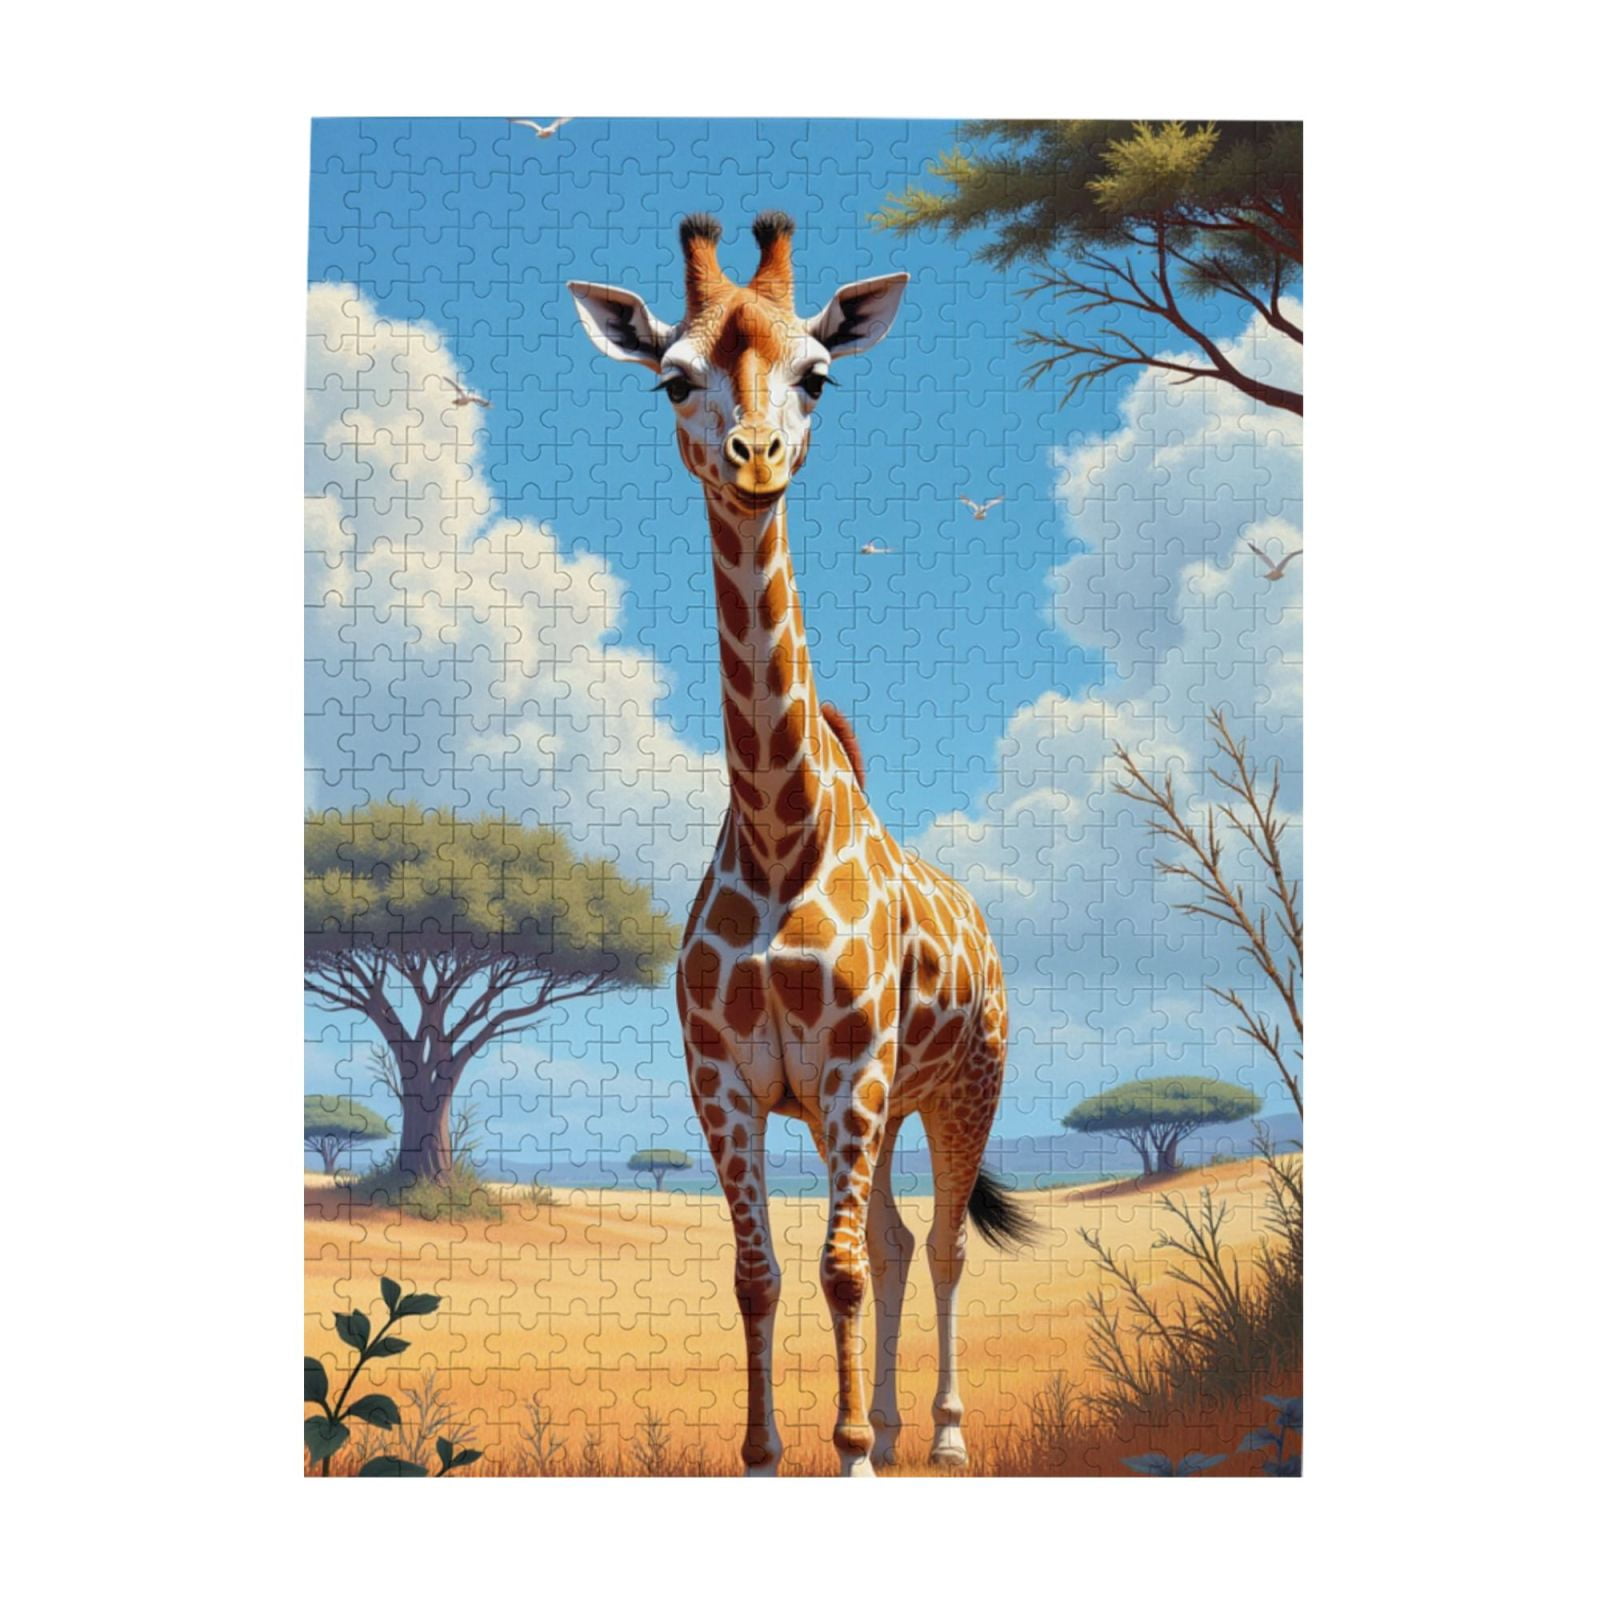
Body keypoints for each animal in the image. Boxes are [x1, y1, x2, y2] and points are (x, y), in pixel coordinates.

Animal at [570, 213, 1034, 1478]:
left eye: (818, 372)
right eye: (670, 377)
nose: (756, 455)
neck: (784, 834)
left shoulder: (851, 1069)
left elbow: (834, 1271)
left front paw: (853, 1452)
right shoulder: (725, 1080)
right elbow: (759, 1275)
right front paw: (773, 1449)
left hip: (958, 1087)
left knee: (938, 1245)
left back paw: (941, 1436)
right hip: (869, 1110)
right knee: (894, 1238)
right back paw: (893, 1421)